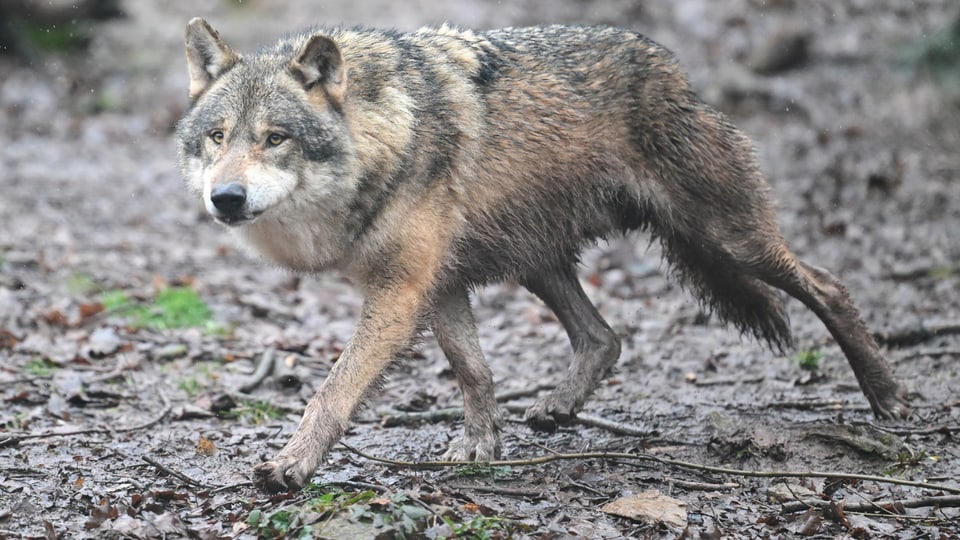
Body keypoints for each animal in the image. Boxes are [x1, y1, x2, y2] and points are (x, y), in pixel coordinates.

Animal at [176, 18, 909, 493]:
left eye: (275, 138)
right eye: (218, 137)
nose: (226, 198)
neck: (383, 134)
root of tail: (675, 70)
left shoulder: (401, 291)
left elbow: (331, 392)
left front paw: (291, 466)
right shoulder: (438, 284)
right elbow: (473, 371)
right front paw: (480, 445)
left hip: (728, 239)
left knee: (829, 285)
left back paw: (888, 399)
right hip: (538, 261)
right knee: (605, 337)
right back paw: (558, 407)